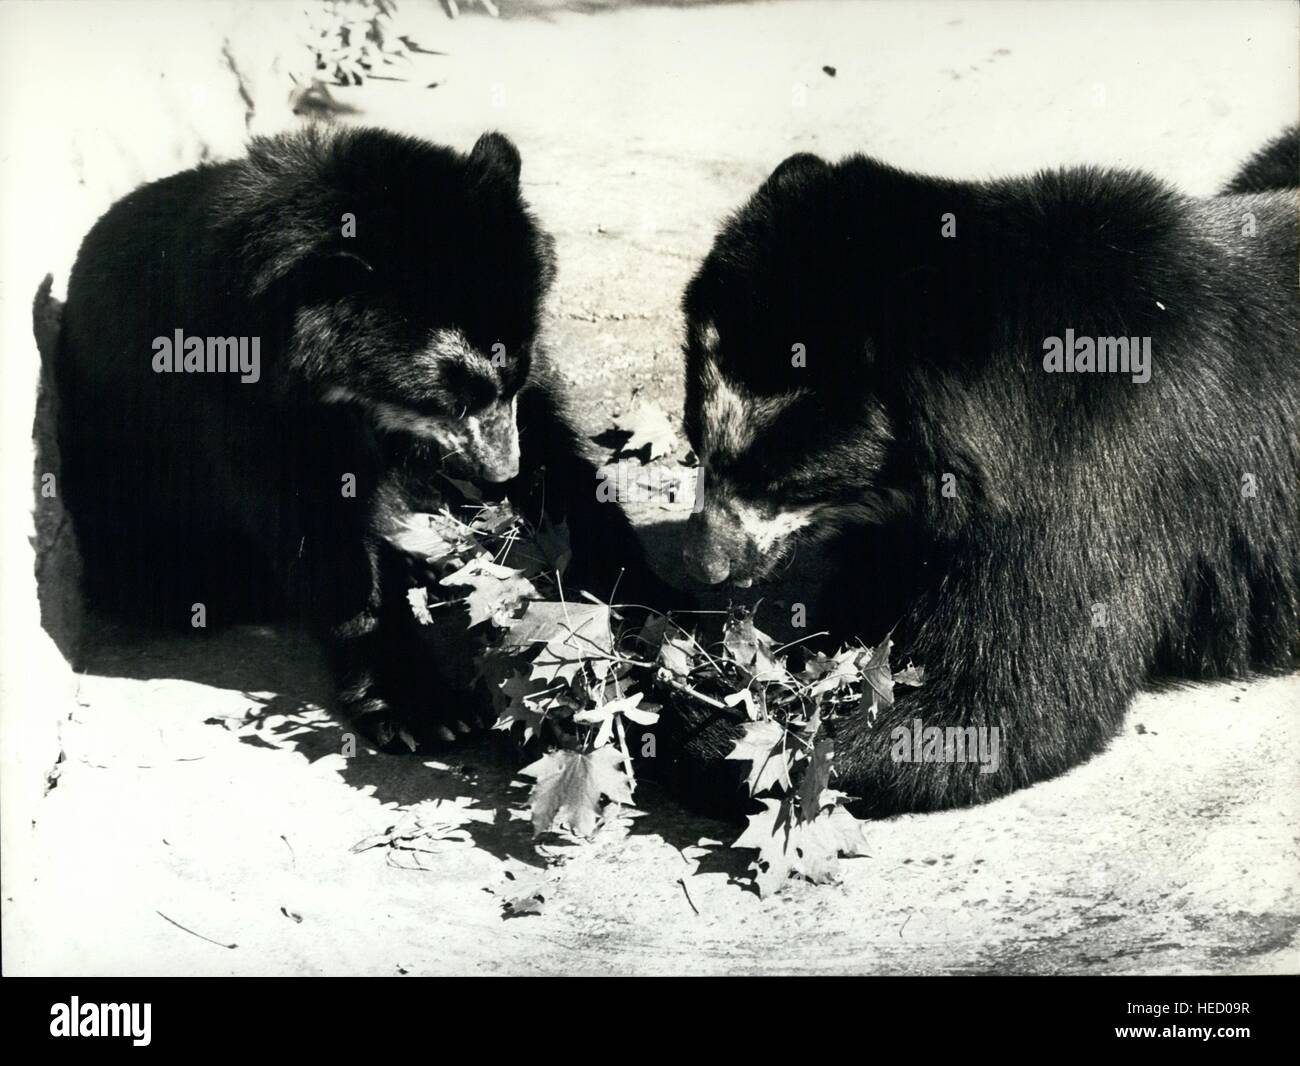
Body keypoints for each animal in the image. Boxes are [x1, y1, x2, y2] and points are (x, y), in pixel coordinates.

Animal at [52, 125, 667, 750]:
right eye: (449, 398)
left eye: (511, 379)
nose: (500, 473)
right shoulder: (239, 401)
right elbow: (318, 530)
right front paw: (427, 709)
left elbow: (554, 449)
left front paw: (643, 607)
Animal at [669, 132, 1299, 817]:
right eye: (696, 444)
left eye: (781, 478)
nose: (705, 564)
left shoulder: (1092, 476)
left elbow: (1008, 697)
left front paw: (722, 729)